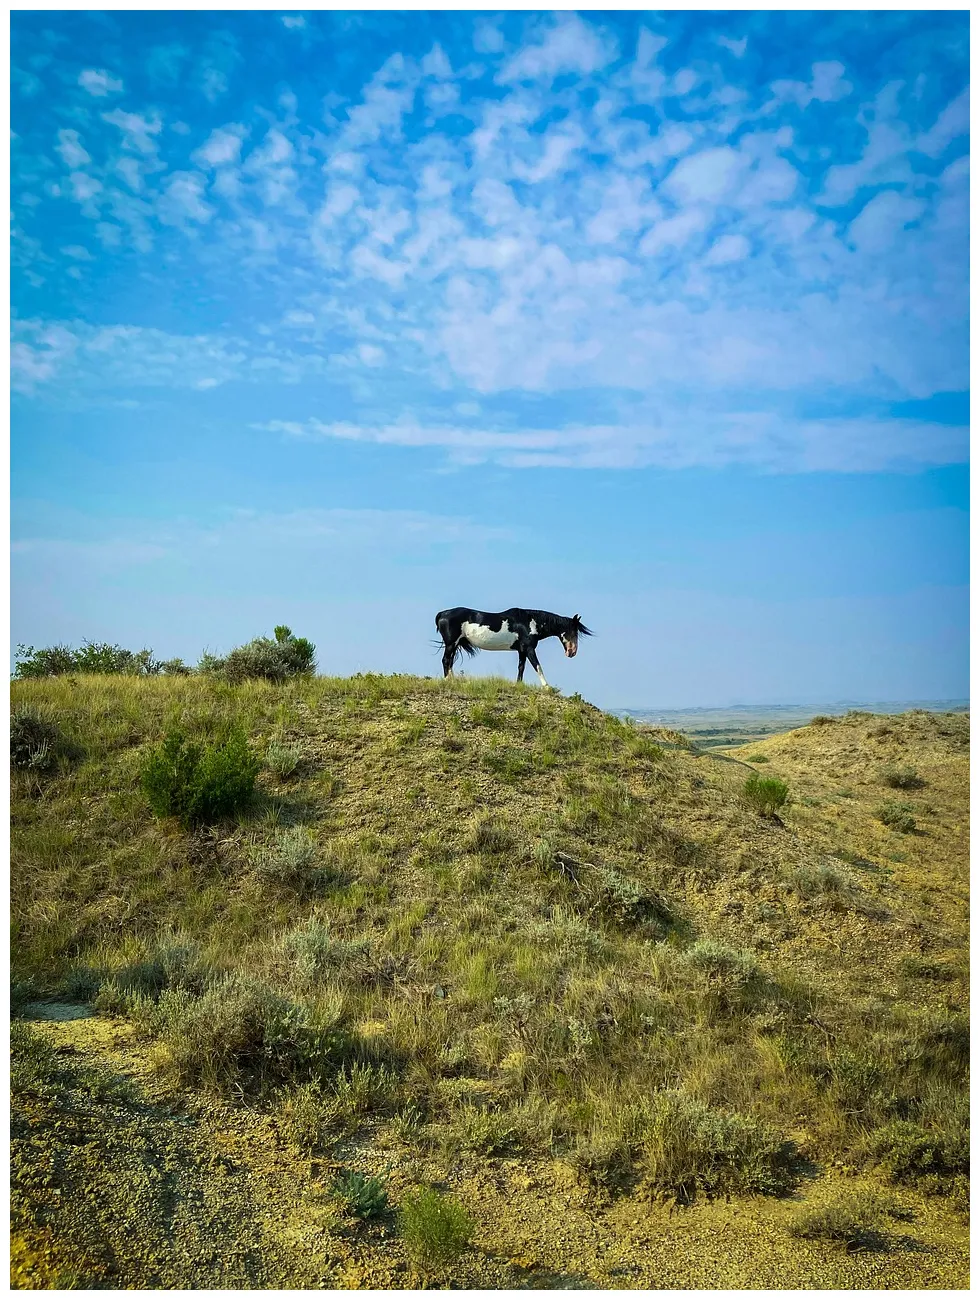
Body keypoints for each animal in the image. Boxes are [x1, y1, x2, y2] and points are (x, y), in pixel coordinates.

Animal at [434, 606, 593, 688]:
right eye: (573, 631)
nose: (572, 652)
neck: (530, 622)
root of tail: (442, 614)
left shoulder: (522, 650)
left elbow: (521, 667)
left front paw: (518, 684)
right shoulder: (529, 649)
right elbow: (537, 666)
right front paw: (547, 687)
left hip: (455, 644)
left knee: (450, 662)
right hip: (451, 643)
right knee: (445, 660)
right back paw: (448, 681)